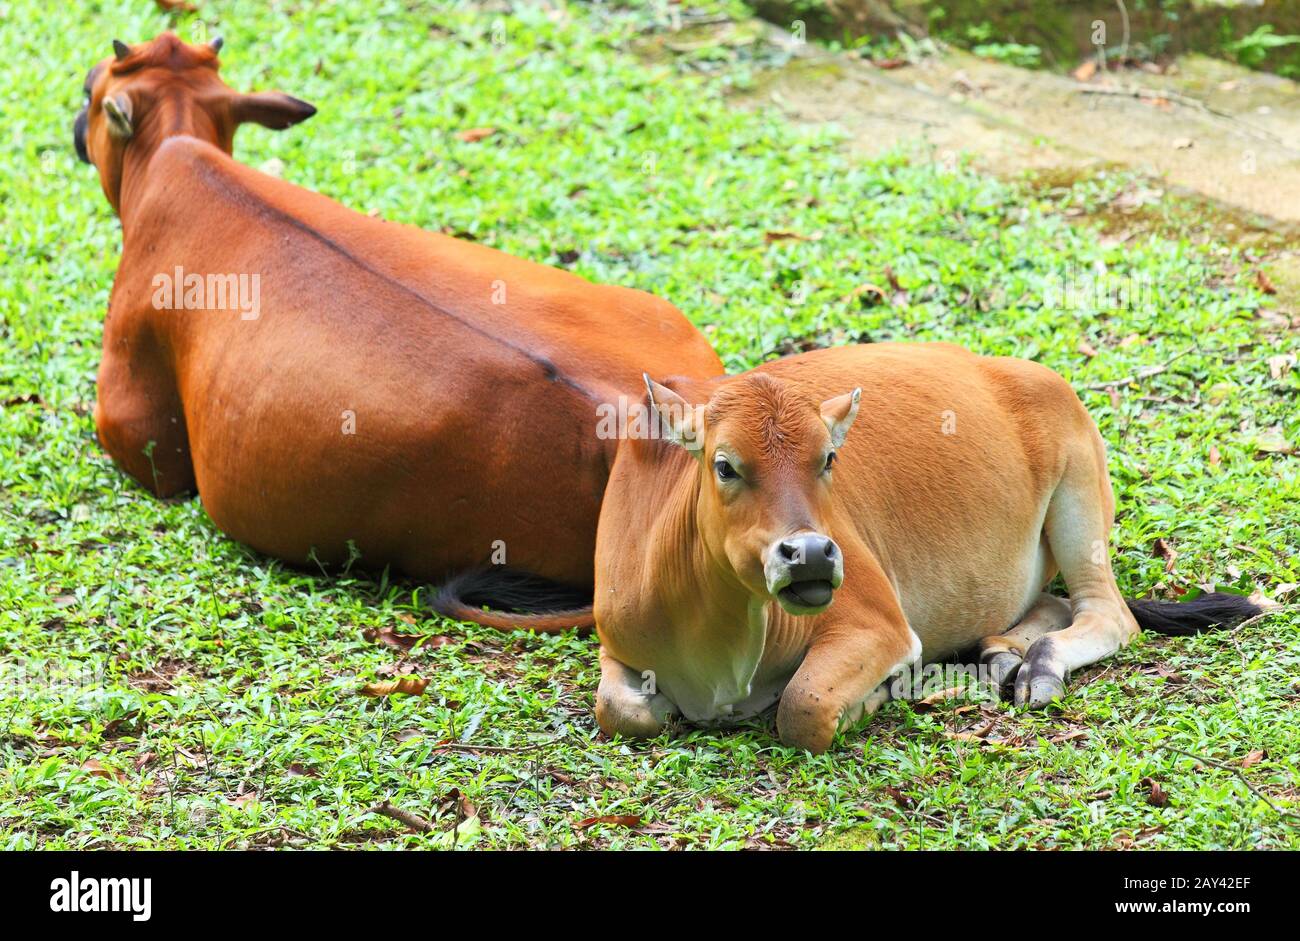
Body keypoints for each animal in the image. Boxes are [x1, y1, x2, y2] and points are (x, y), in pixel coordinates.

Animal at [584, 343, 1261, 753]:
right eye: (724, 465)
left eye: (828, 459)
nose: (811, 554)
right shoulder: (616, 641)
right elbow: (621, 711)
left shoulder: (878, 624)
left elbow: (803, 708)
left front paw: (886, 690)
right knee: (1054, 605)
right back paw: (1003, 654)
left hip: (1080, 499)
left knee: (1107, 614)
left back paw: (1035, 666)